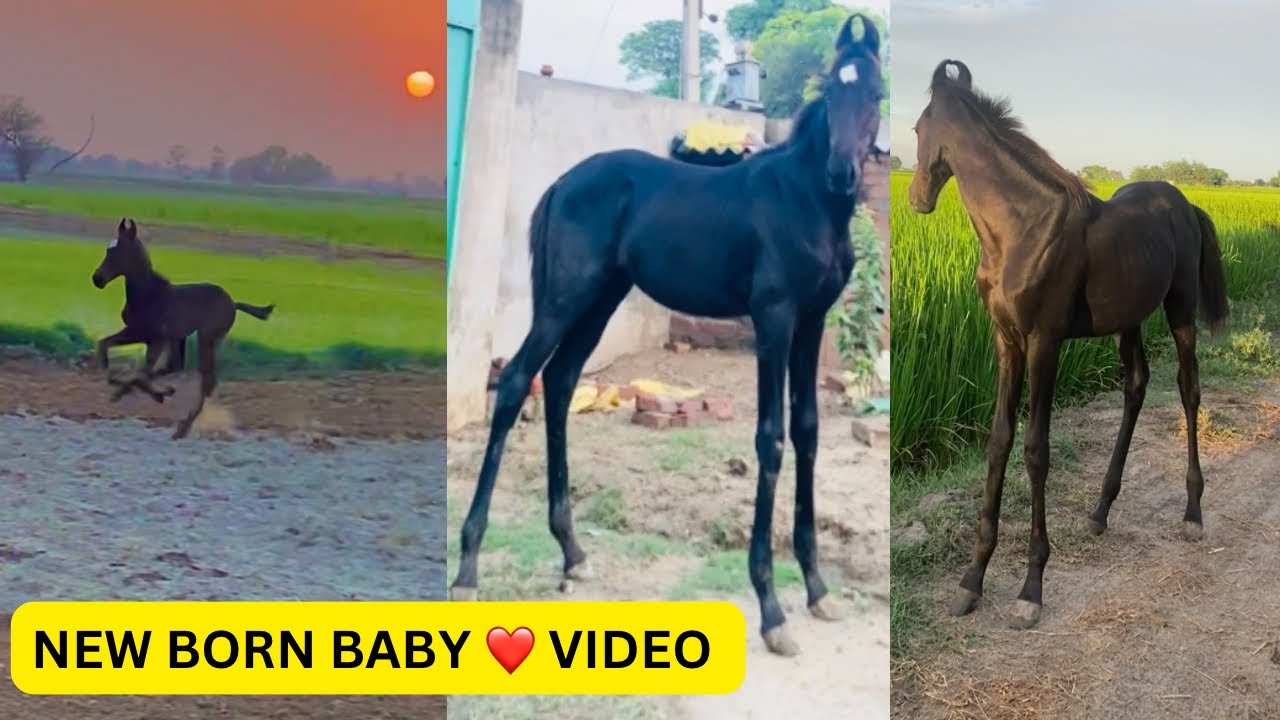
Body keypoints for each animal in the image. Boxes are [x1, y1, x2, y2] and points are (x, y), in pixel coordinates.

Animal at [92, 218, 276, 440]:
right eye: (107, 250)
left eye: (119, 251)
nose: (97, 279)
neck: (148, 294)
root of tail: (233, 303)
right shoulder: (139, 333)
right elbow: (105, 345)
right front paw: (115, 380)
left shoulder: (154, 338)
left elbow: (143, 372)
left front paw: (144, 393)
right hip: (181, 339)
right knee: (177, 368)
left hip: (206, 339)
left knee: (205, 381)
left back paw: (183, 428)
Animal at [451, 14, 886, 657]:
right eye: (831, 93)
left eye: (876, 93)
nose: (841, 172)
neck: (805, 201)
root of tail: (561, 184)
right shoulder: (774, 318)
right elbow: (772, 439)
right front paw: (772, 610)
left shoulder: (812, 322)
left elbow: (807, 433)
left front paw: (817, 589)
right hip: (564, 298)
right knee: (515, 382)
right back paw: (468, 569)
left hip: (602, 300)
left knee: (560, 381)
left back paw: (572, 553)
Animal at [907, 60, 1230, 629]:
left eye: (919, 127)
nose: (917, 198)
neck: (1019, 229)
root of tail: (1187, 204)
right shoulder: (1005, 340)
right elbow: (999, 441)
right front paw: (971, 582)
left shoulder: (1045, 341)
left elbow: (1036, 450)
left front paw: (1031, 588)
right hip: (1129, 319)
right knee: (1136, 386)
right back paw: (1100, 511)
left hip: (1180, 310)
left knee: (1188, 389)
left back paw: (1193, 513)